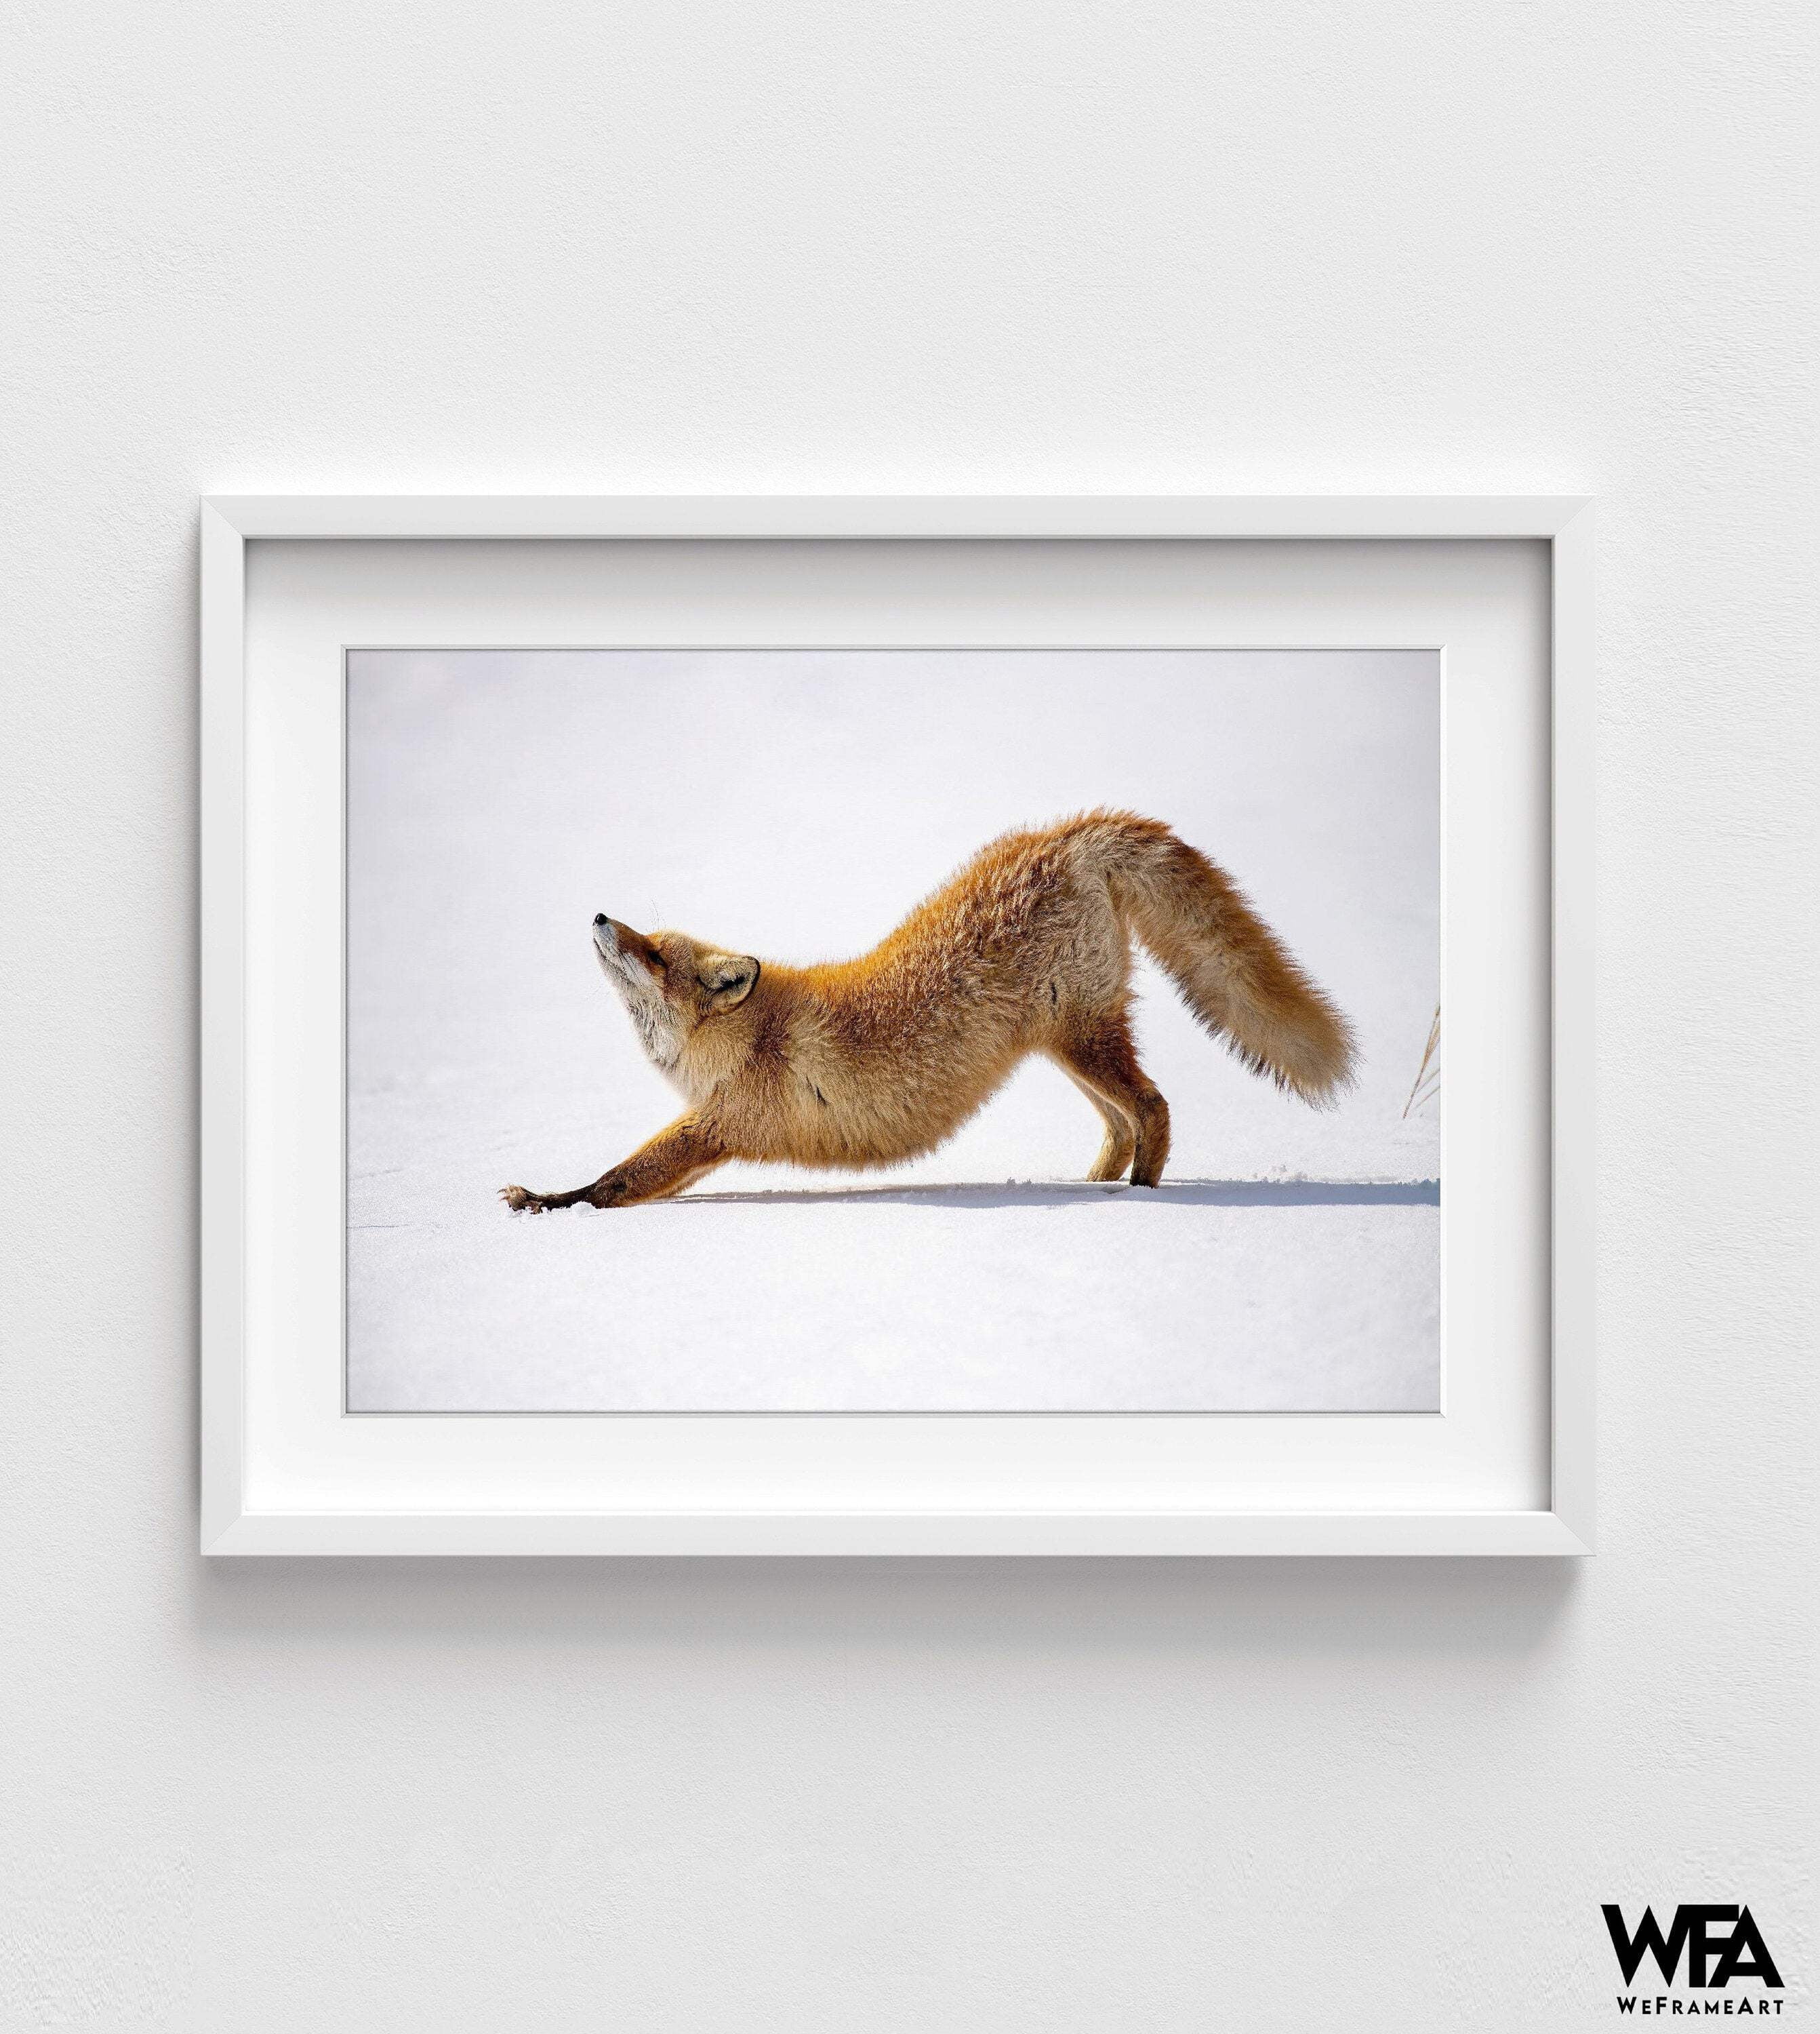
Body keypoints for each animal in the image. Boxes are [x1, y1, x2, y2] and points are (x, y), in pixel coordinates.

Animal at [499, 810, 1355, 1212]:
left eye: (653, 955)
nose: (601, 918)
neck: (749, 1037)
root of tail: (1064, 835)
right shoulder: (718, 1131)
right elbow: (631, 1180)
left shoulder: (718, 1126)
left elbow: (614, 1182)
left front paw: (549, 1202)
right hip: (1063, 1045)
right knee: (1123, 1120)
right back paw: (1095, 1186)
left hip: (1081, 1036)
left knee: (1154, 1107)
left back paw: (1141, 1197)